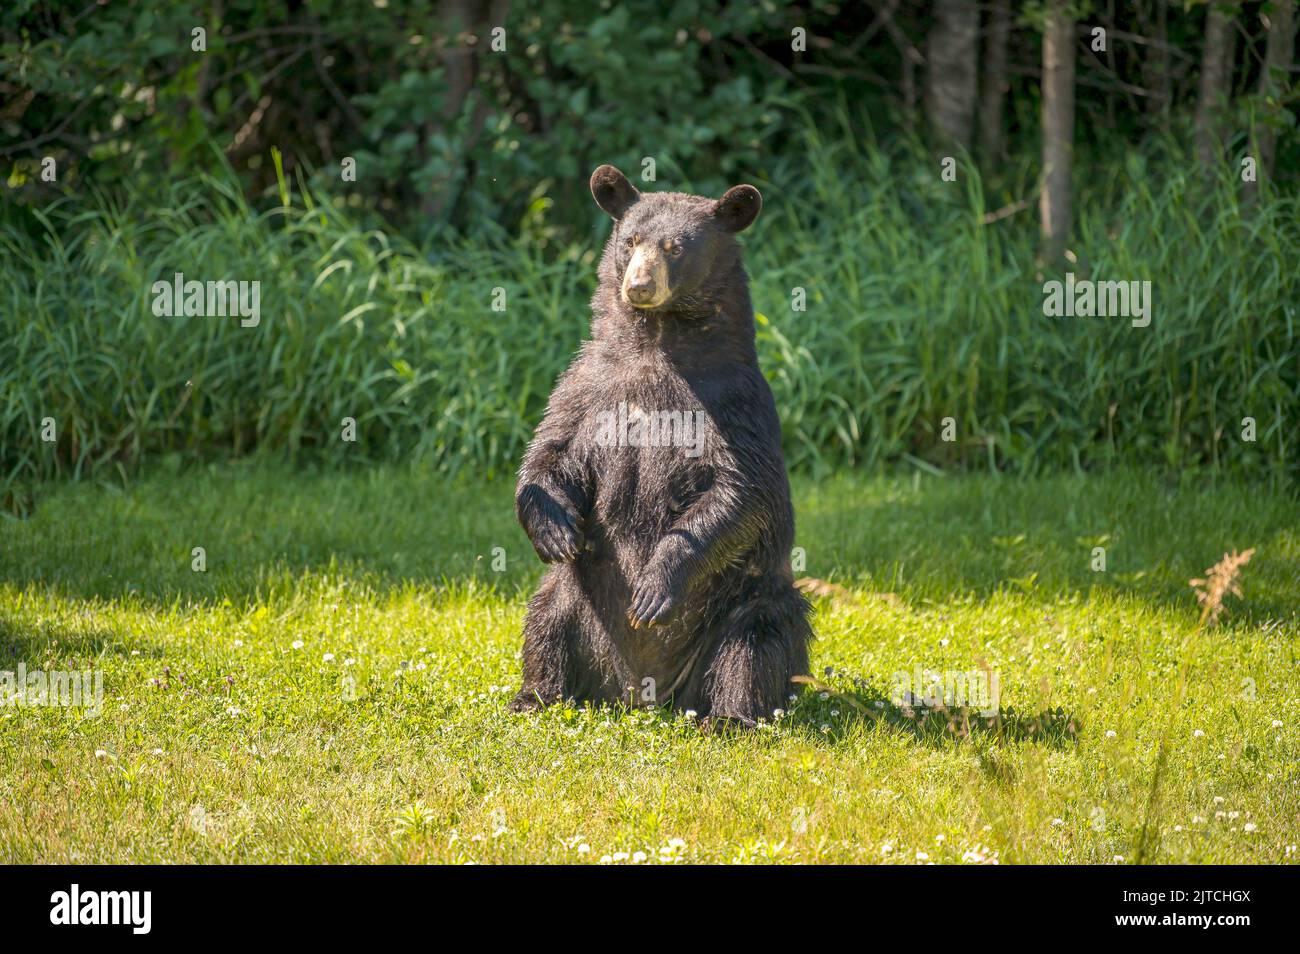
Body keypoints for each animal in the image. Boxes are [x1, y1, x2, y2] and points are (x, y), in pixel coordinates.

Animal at [509, 164, 812, 728]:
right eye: (630, 241)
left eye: (675, 247)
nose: (639, 285)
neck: (656, 344)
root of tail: (645, 694)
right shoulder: (589, 384)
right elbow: (549, 452)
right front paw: (554, 528)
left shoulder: (732, 401)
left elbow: (743, 489)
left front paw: (653, 588)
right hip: (578, 601)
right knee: (547, 617)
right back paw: (536, 694)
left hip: (741, 601)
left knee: (755, 641)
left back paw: (732, 716)